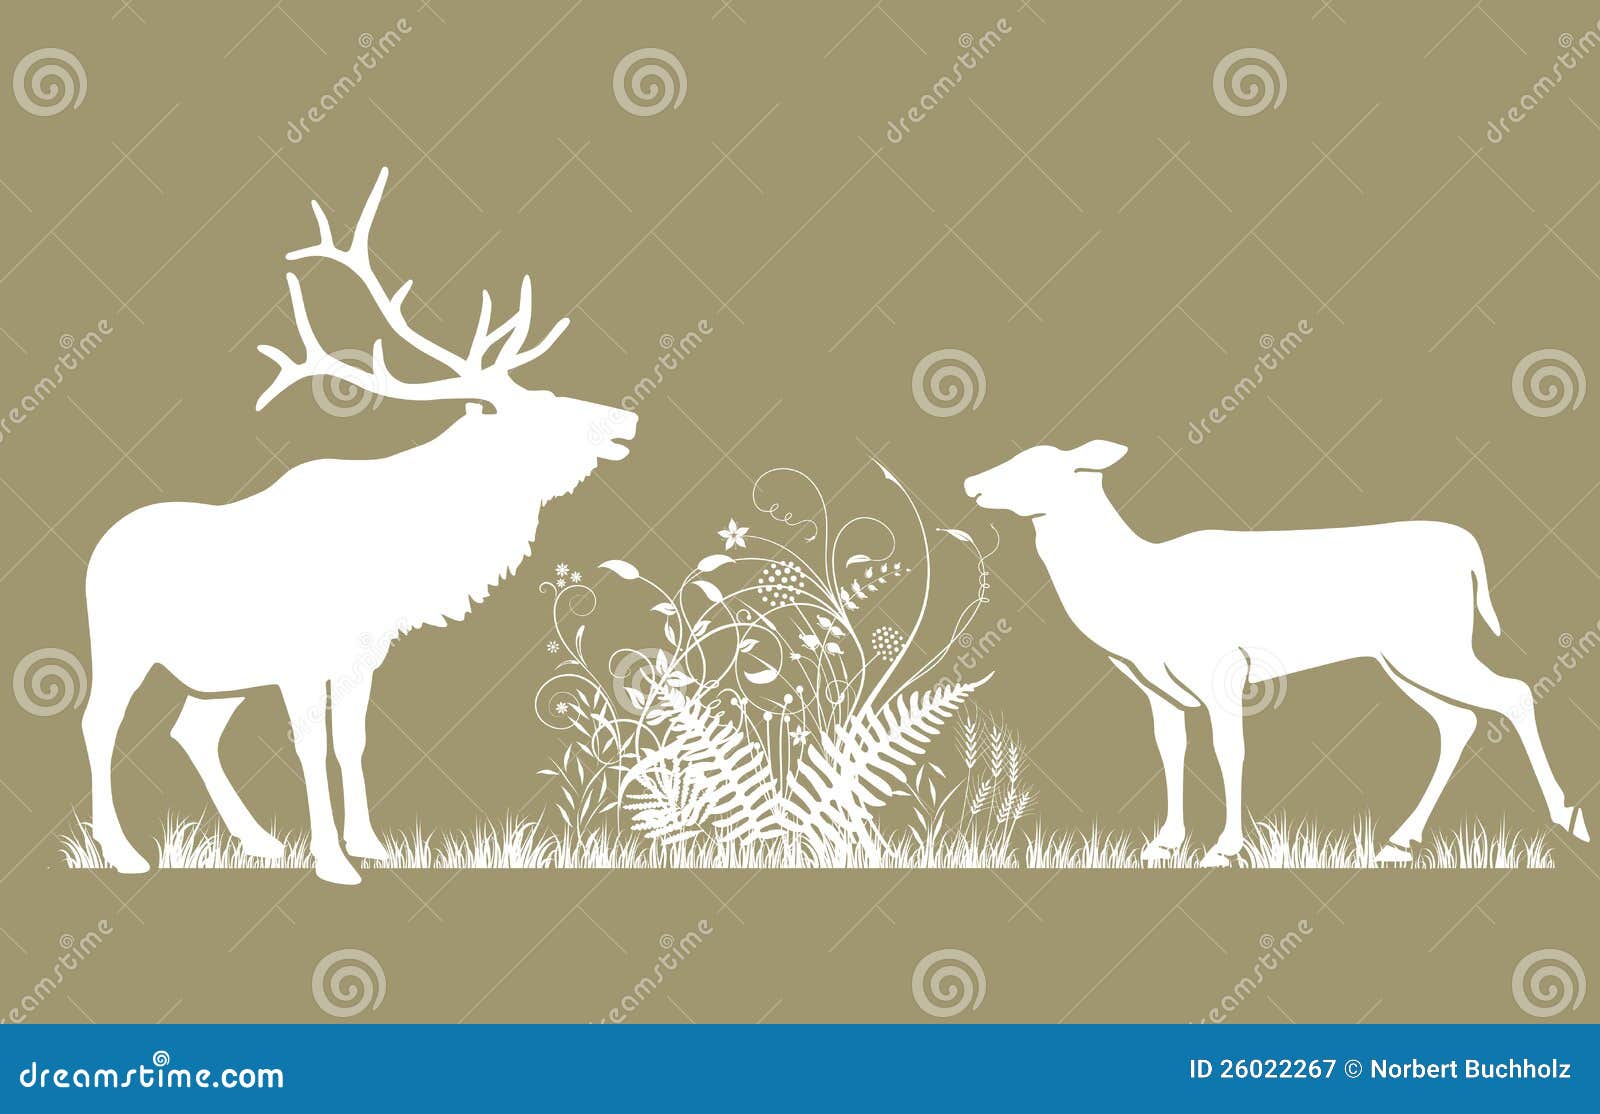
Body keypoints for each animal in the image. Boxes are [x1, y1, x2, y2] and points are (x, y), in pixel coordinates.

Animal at [81, 168, 637, 884]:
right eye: (541, 410)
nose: (624, 418)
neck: (398, 560)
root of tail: (96, 550)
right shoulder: (299, 662)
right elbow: (310, 749)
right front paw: (332, 861)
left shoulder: (359, 658)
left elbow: (352, 743)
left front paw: (368, 843)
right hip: (122, 648)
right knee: (99, 724)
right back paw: (121, 850)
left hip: (222, 671)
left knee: (191, 732)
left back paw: (258, 840)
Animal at [964, 440, 1589, 866]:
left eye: (1036, 465)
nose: (971, 481)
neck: (1133, 595)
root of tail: (1469, 550)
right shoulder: (1157, 689)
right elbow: (1170, 751)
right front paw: (1164, 843)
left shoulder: (1219, 671)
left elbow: (1229, 752)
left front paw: (1224, 848)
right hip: (1403, 659)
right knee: (1458, 721)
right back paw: (1399, 839)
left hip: (1431, 647)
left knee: (1513, 692)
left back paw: (1566, 816)